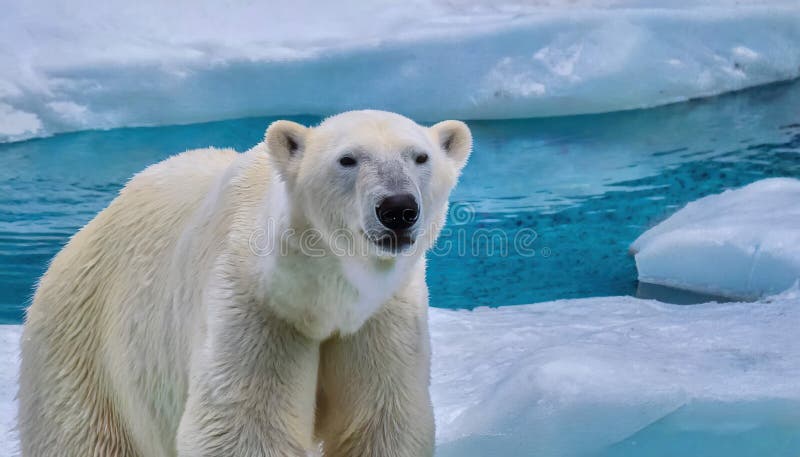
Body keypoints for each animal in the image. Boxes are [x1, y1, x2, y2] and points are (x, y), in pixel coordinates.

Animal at [18, 110, 472, 457]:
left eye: (420, 156)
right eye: (347, 159)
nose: (398, 208)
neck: (320, 297)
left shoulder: (379, 319)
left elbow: (383, 421)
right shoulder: (256, 308)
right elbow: (243, 428)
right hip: (83, 353)